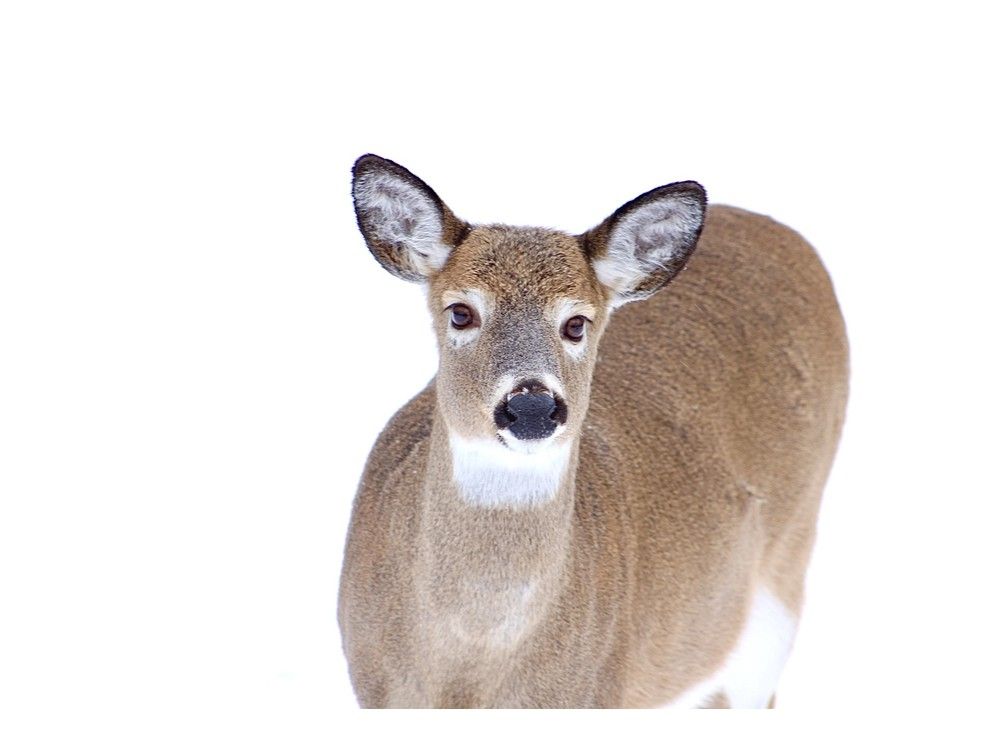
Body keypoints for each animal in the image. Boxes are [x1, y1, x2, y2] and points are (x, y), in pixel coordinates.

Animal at [337, 154, 848, 708]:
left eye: (577, 323)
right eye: (461, 312)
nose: (532, 406)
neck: (468, 669)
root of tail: (786, 235)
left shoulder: (597, 689)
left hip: (782, 581)